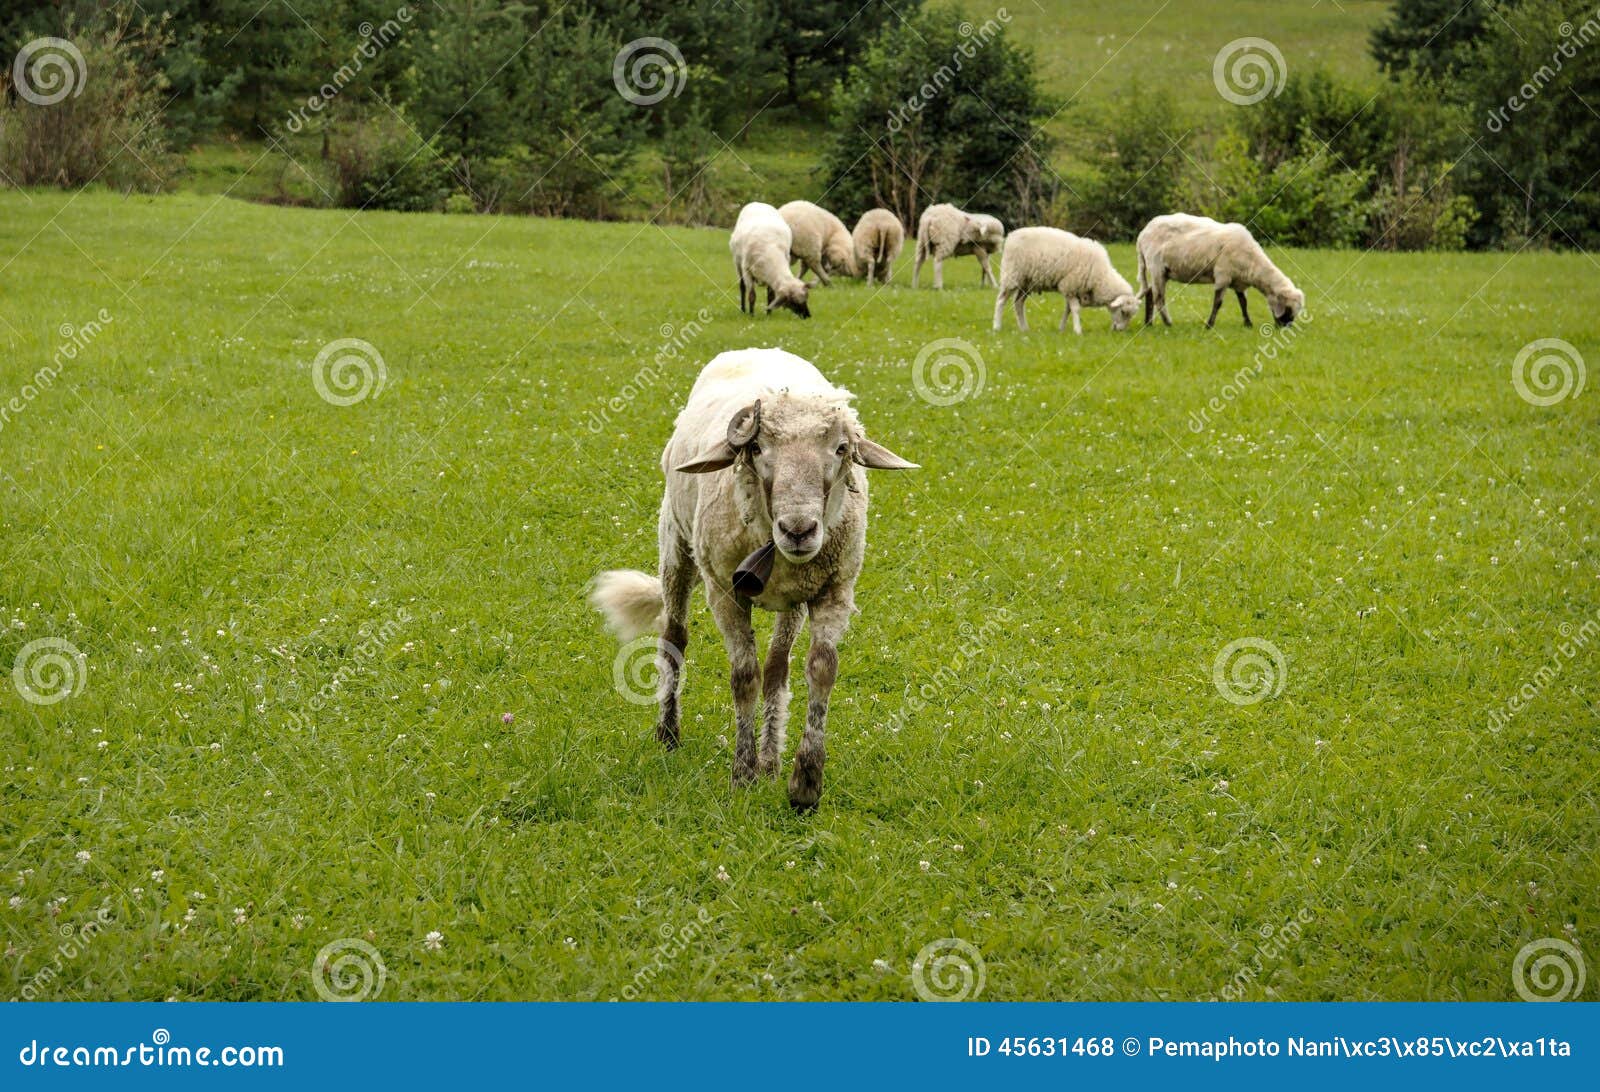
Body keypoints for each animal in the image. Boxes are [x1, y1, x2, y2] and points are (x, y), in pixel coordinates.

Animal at [590, 348, 917, 811]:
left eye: (841, 449)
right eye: (758, 447)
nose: (799, 530)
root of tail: (756, 350)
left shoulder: (834, 591)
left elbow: (820, 669)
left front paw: (804, 783)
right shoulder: (725, 594)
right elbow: (744, 677)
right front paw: (742, 775)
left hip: (792, 601)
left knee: (777, 669)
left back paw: (770, 759)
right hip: (676, 547)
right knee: (674, 639)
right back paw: (669, 735)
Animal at [992, 227, 1140, 335]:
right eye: (1123, 312)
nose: (1120, 331)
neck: (1100, 277)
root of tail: (1011, 236)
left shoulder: (1073, 290)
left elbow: (1068, 310)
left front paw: (1062, 328)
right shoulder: (1070, 286)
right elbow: (1075, 309)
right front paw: (1078, 331)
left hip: (1026, 283)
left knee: (1018, 303)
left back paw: (1024, 329)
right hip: (1012, 275)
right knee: (1000, 301)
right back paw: (997, 326)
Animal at [1136, 213, 1305, 328]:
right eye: (1288, 309)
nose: (1284, 328)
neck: (1252, 262)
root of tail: (1142, 234)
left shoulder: (1238, 281)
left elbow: (1243, 303)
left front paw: (1248, 323)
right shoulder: (1223, 275)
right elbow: (1218, 302)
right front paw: (1209, 325)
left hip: (1161, 271)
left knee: (1150, 292)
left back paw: (1148, 323)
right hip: (1156, 267)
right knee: (1159, 298)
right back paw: (1168, 323)